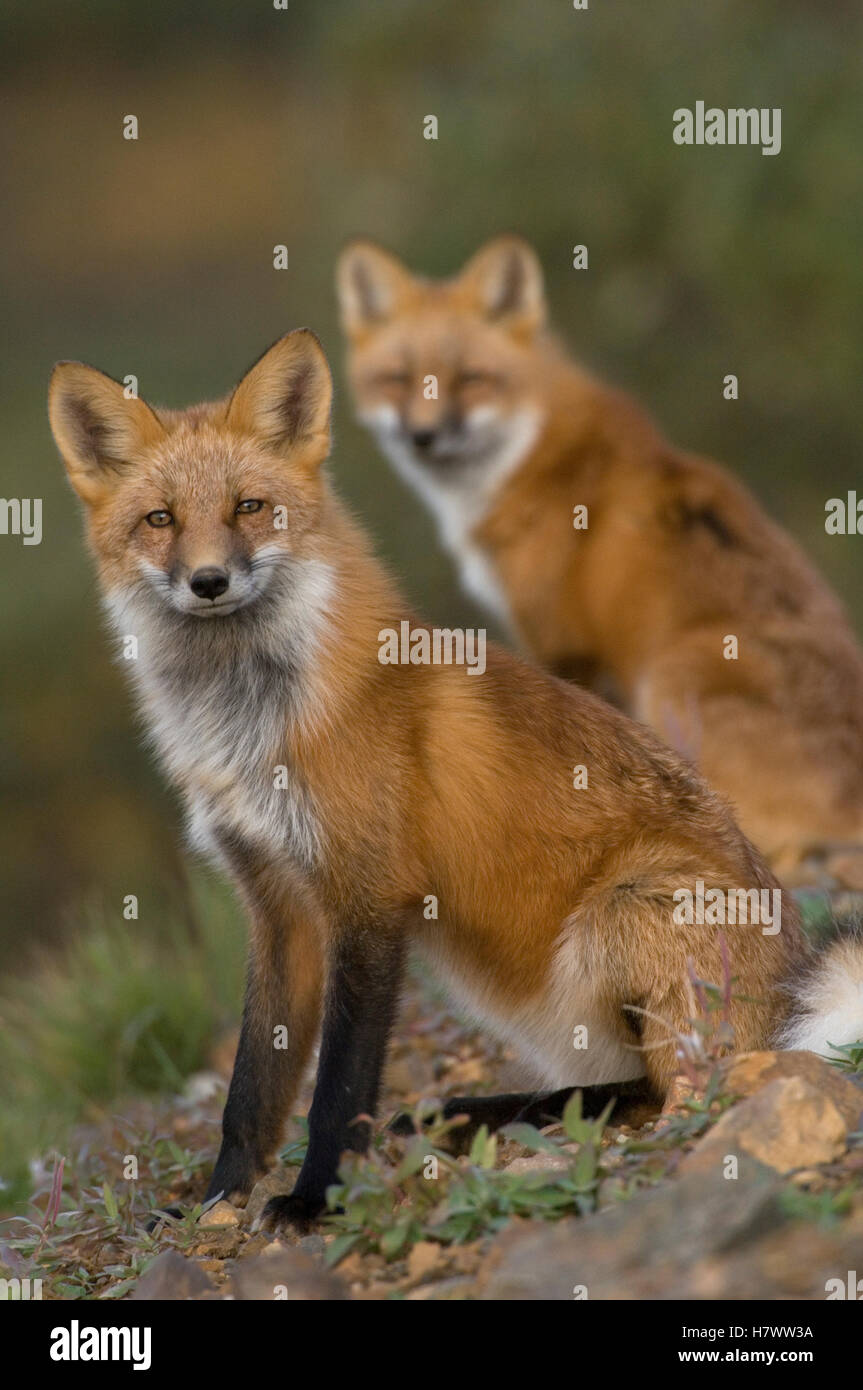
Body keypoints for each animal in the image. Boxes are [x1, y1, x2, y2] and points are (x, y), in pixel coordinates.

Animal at [49, 329, 862, 1229]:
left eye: (249, 508)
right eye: (159, 520)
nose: (208, 581)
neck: (247, 728)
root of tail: (790, 980)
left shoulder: (369, 899)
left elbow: (338, 1089)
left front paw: (314, 1199)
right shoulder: (275, 903)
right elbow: (252, 1089)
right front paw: (221, 1197)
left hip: (622, 910)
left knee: (676, 1089)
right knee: (632, 1084)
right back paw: (479, 1112)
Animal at [337, 235, 863, 885]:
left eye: (472, 379)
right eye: (397, 379)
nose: (423, 436)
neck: (532, 454)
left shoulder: (566, 646)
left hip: (672, 676)